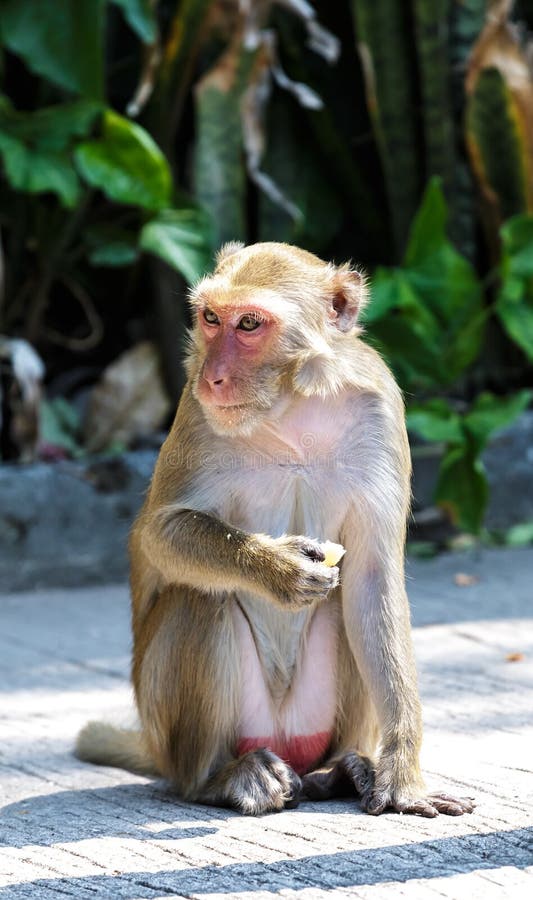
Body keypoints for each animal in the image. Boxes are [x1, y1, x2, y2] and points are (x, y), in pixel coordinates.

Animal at [76, 241, 474, 818]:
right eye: (211, 318)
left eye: (248, 323)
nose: (212, 377)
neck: (291, 406)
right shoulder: (194, 411)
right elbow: (161, 534)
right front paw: (276, 569)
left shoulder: (380, 409)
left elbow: (372, 579)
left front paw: (403, 779)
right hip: (177, 730)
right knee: (201, 598)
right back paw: (219, 778)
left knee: (343, 606)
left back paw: (341, 769)